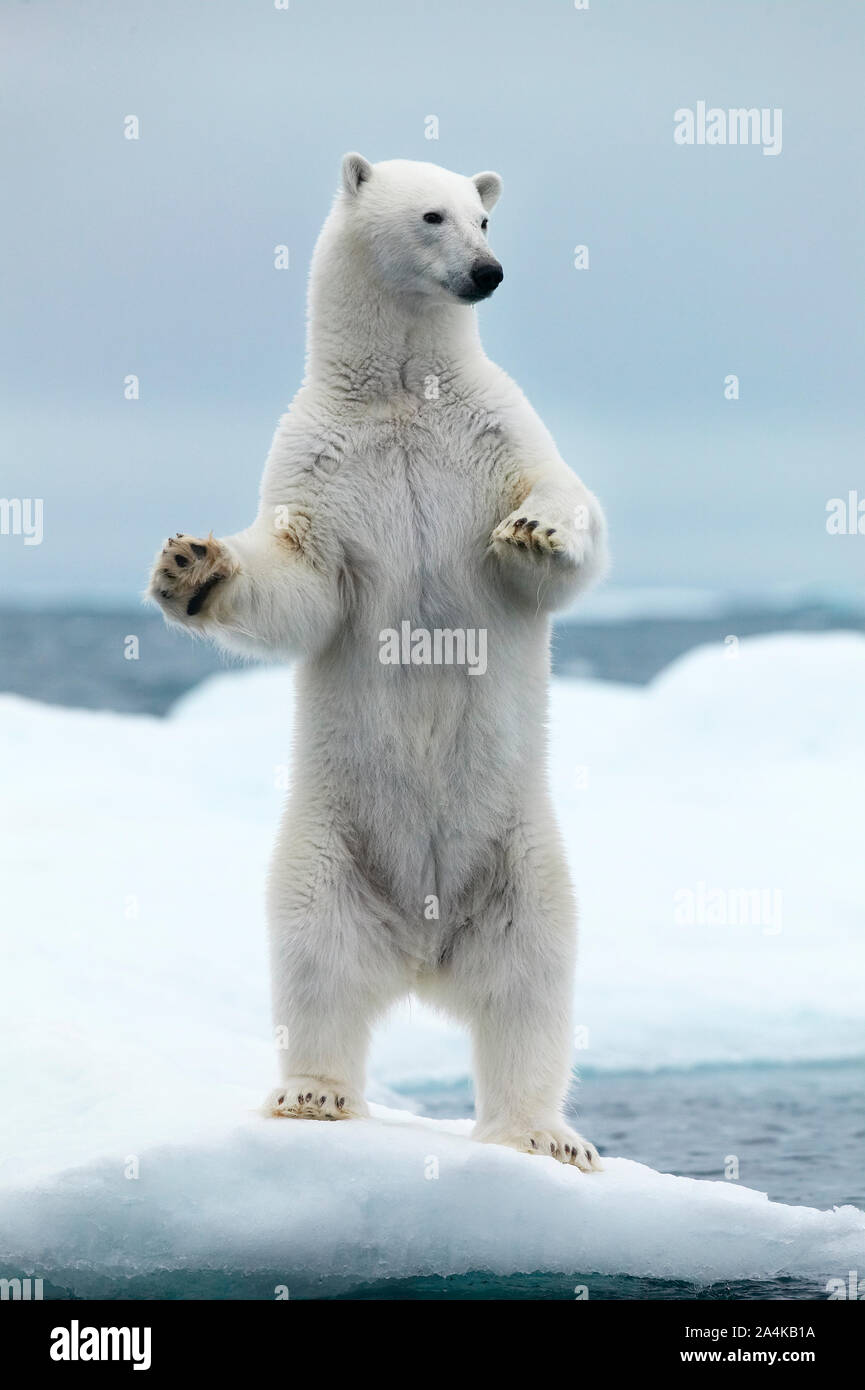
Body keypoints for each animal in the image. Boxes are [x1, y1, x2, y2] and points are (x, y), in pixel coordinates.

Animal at [148, 154, 608, 1169]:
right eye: (433, 216)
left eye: (484, 215)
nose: (488, 272)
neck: (400, 388)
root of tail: (425, 951)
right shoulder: (320, 461)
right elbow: (301, 580)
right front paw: (192, 566)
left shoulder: (493, 430)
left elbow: (559, 509)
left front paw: (537, 528)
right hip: (326, 846)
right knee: (314, 960)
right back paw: (313, 1095)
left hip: (523, 857)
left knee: (534, 983)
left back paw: (542, 1134)